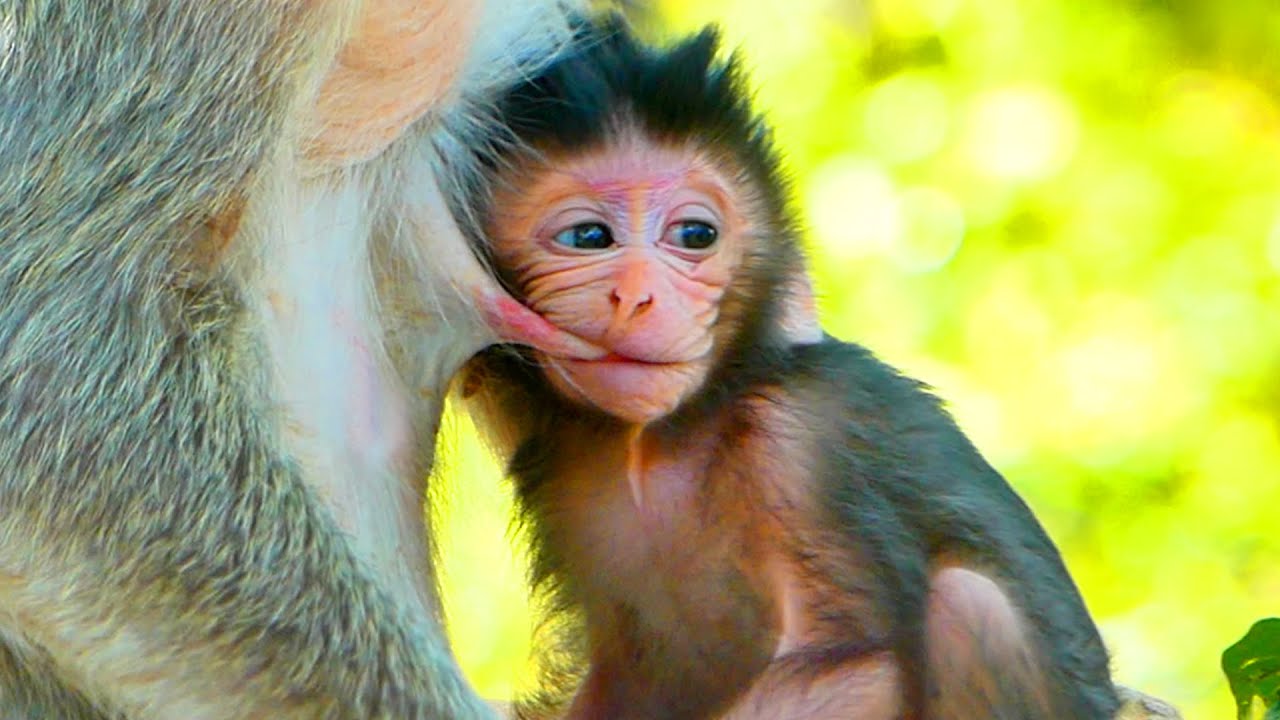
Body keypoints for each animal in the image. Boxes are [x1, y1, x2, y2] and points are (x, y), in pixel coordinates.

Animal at [459, 17, 1125, 719]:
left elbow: (865, 663)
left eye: (694, 235)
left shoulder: (803, 434)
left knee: (973, 607)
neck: (665, 434)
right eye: (587, 238)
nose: (636, 295)